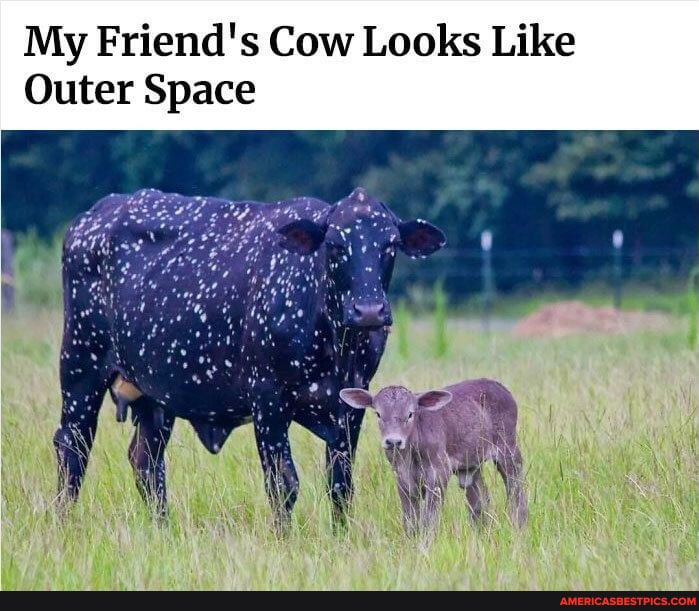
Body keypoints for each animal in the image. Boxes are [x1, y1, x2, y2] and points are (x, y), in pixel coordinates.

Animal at [54, 187, 446, 526]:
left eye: (390, 244)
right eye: (335, 244)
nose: (368, 311)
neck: (334, 344)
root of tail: (93, 214)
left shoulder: (351, 406)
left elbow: (340, 484)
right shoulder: (267, 399)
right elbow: (284, 483)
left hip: (155, 396)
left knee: (146, 463)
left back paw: (162, 529)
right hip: (81, 366)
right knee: (72, 445)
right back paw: (64, 523)